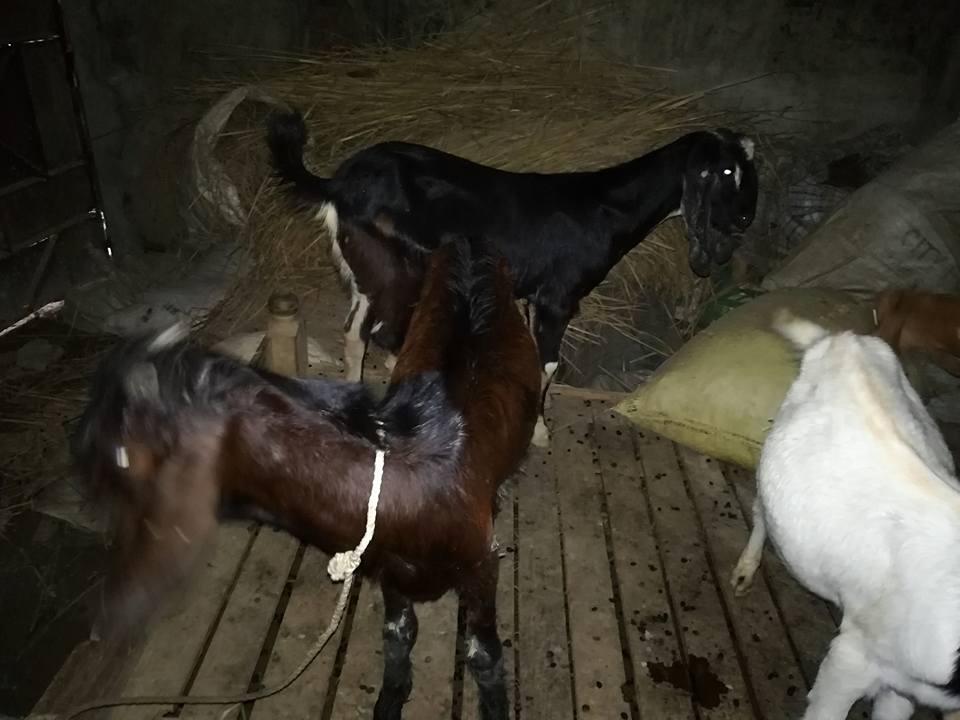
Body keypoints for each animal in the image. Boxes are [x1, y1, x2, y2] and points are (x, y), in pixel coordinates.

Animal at [72, 237, 541, 720]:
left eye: (120, 460)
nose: (108, 617)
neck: (401, 488)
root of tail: (467, 245)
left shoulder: (481, 566)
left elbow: (483, 653)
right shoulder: (389, 571)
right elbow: (398, 634)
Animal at [266, 111, 758, 444]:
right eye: (726, 171)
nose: (746, 220)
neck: (603, 208)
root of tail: (337, 184)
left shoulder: (531, 295)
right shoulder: (558, 298)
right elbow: (548, 363)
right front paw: (538, 431)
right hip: (387, 266)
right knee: (359, 332)